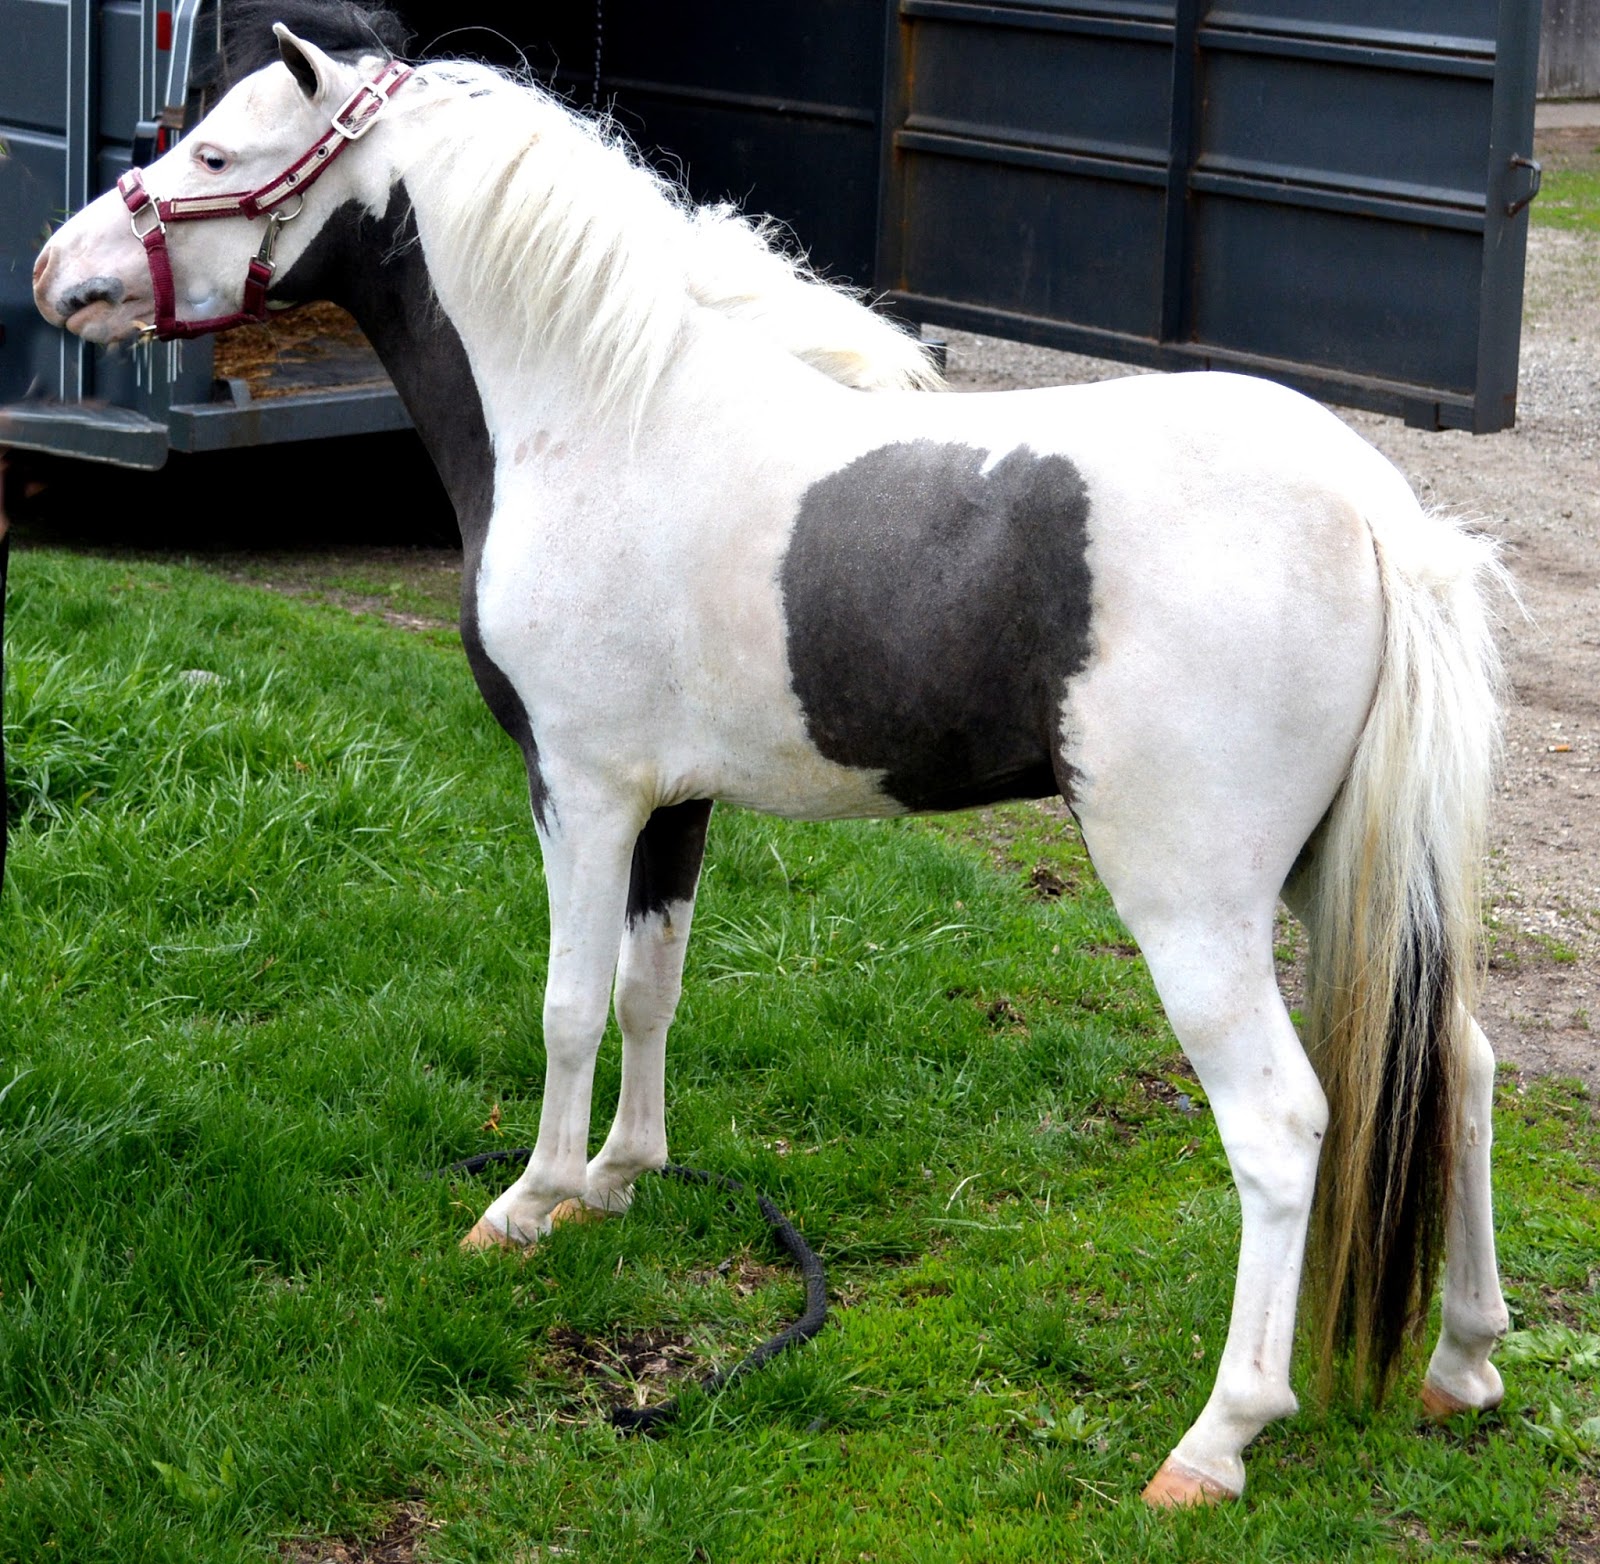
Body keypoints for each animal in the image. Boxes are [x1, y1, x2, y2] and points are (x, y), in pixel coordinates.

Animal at [32, 0, 1511, 1506]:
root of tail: (1377, 515)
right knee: (1461, 1067)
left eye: (217, 152)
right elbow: (649, 993)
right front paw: (617, 1181)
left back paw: (1217, 1439)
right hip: (1338, 876)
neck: (604, 415)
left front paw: (527, 1205)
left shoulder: (579, 791)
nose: (56, 272)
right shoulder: (671, 805)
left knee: (1279, 1130)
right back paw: (1462, 1361)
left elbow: (567, 1005)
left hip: (1194, 899)